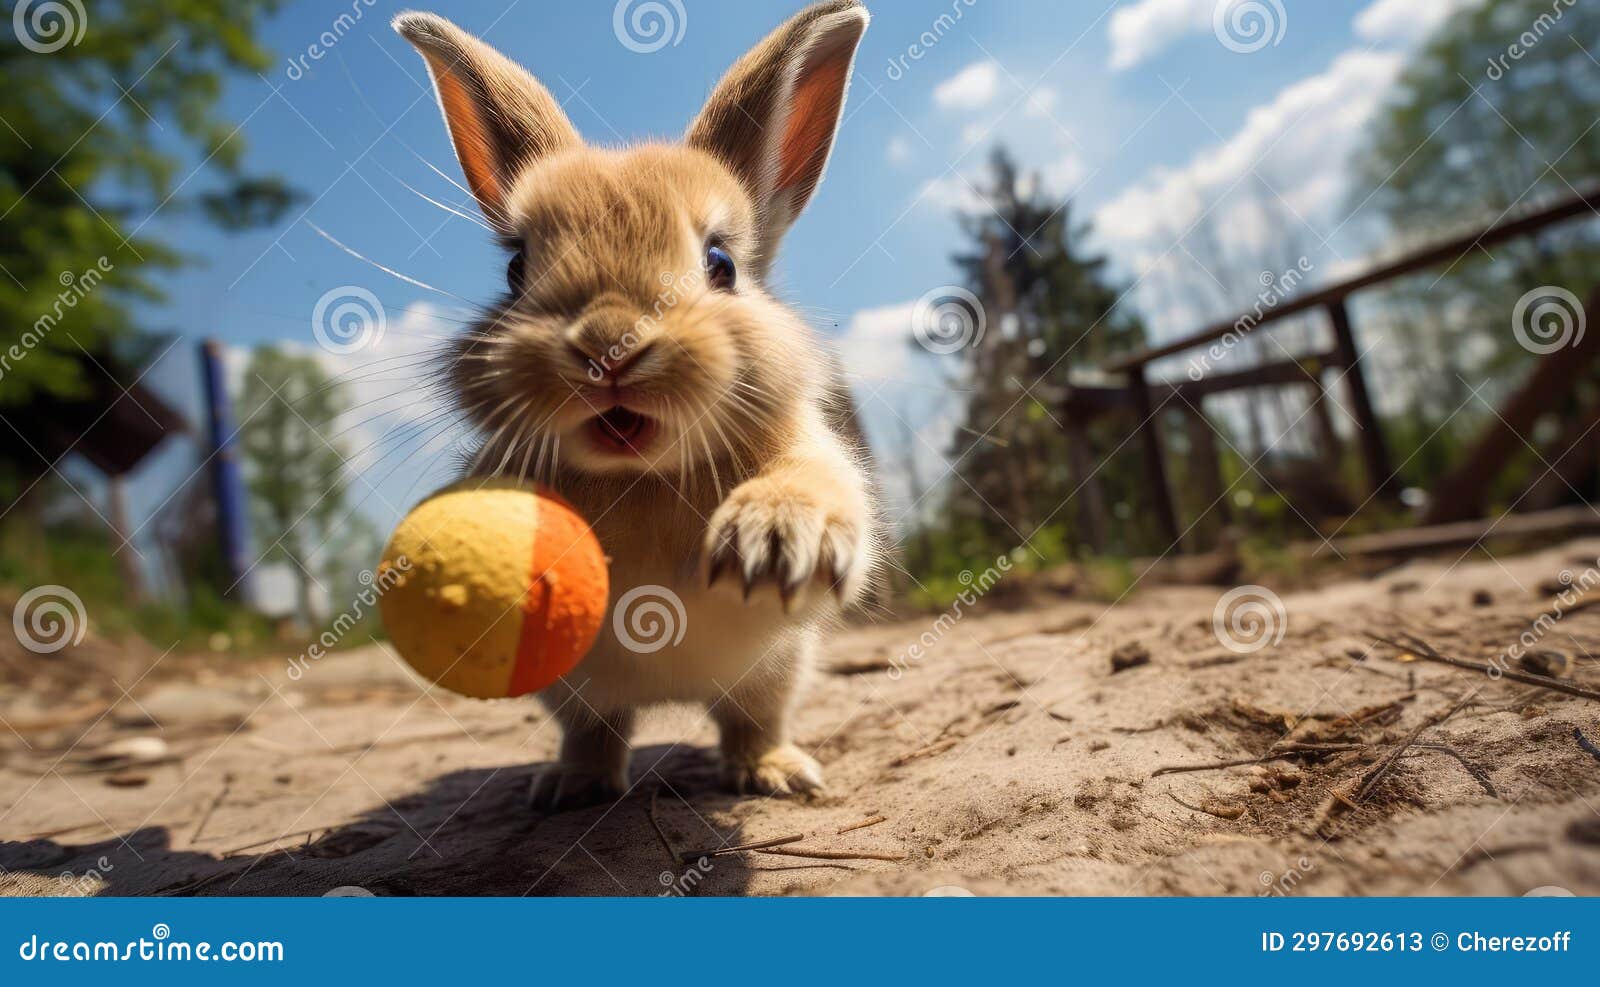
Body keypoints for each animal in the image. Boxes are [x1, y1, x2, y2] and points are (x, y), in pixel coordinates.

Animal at [395, 1, 882, 809]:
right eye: (516, 269)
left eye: (721, 265)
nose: (609, 345)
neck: (641, 474)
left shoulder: (815, 460)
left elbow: (813, 487)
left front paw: (773, 541)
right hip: (576, 692)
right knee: (600, 732)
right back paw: (571, 786)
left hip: (777, 670)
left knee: (749, 722)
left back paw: (776, 773)